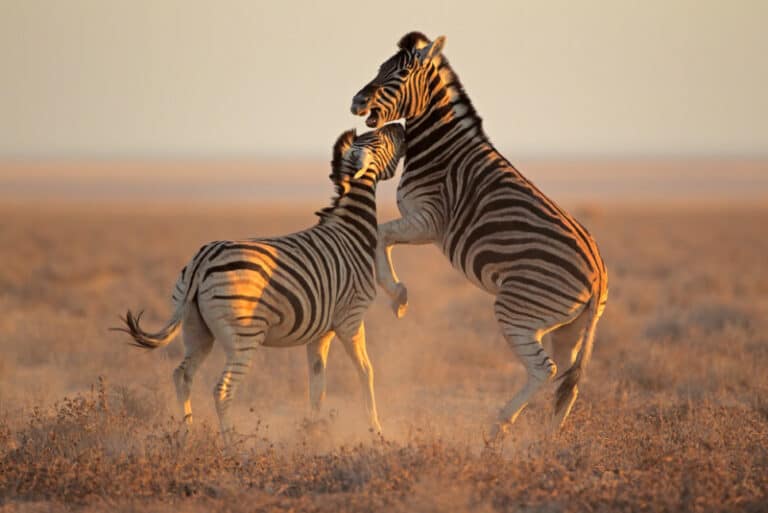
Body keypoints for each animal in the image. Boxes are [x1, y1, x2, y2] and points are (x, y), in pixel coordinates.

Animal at [114, 124, 405, 444]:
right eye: (379, 140)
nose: (400, 127)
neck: (351, 230)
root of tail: (201, 262)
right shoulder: (351, 319)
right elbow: (366, 372)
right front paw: (376, 430)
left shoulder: (321, 331)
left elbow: (317, 384)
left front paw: (313, 432)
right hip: (244, 336)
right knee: (222, 389)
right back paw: (232, 444)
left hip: (196, 329)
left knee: (182, 376)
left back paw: (187, 434)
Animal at [350, 32, 608, 438]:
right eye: (380, 67)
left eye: (400, 72)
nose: (357, 101)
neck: (440, 148)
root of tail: (598, 273)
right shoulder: (423, 223)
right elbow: (383, 237)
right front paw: (398, 296)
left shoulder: (429, 220)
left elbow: (380, 234)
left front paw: (398, 296)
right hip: (571, 328)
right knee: (567, 381)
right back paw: (548, 442)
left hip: (517, 309)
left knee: (544, 370)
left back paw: (499, 425)